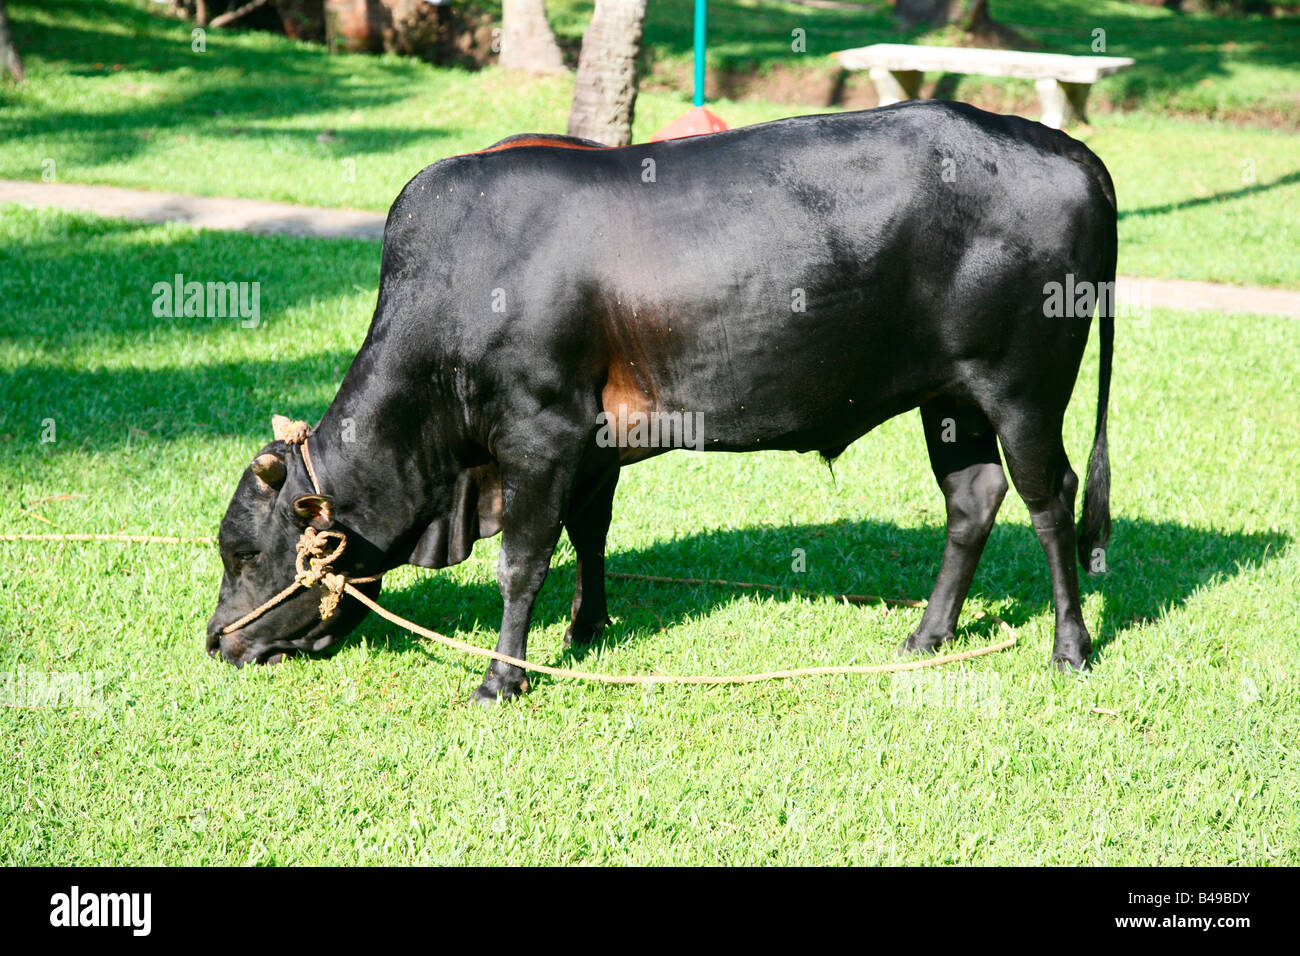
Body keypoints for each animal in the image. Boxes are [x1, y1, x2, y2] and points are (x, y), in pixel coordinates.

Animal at [207, 100, 1115, 704]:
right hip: (950, 397)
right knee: (973, 499)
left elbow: (523, 560)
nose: (216, 641)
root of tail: (1069, 150)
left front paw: (505, 675)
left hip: (1024, 390)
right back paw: (928, 635)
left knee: (1050, 499)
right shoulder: (592, 441)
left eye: (243, 554)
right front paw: (585, 629)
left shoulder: (540, 431)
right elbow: (590, 532)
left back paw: (1070, 646)